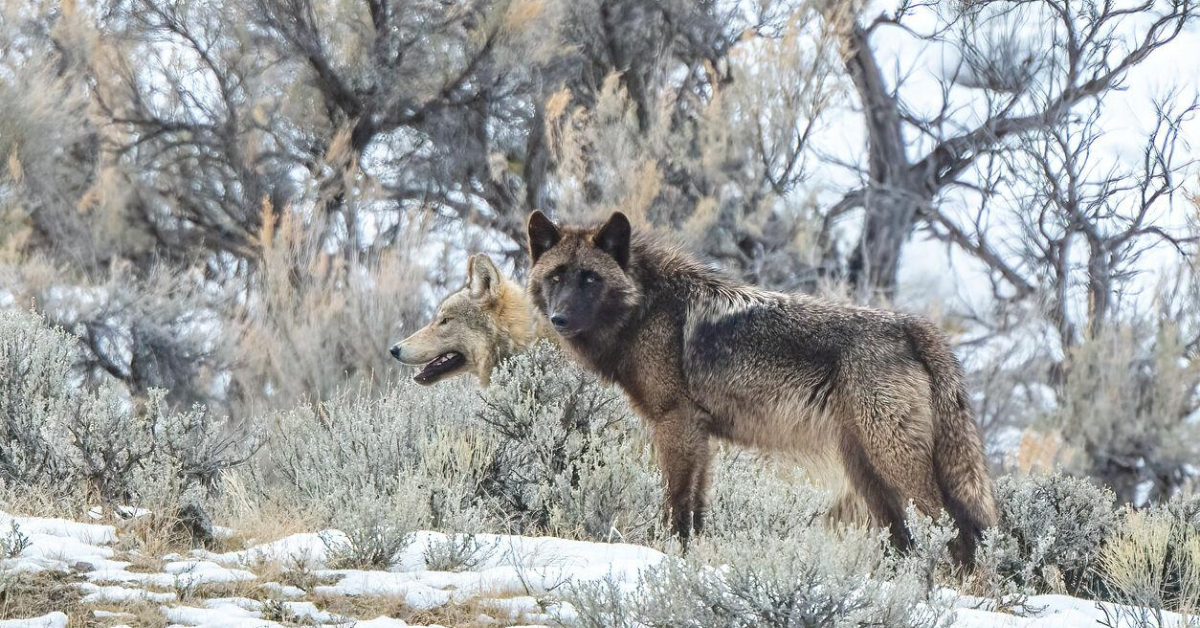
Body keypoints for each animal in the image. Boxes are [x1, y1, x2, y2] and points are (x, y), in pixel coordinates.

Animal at [525, 210, 996, 563]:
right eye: (556, 277)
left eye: (589, 278)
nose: (559, 319)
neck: (648, 307)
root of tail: (914, 327)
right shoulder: (700, 435)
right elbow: (697, 508)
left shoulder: (676, 424)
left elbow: (677, 505)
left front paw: (669, 554)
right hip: (867, 474)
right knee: (906, 537)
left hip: (894, 463)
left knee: (952, 528)